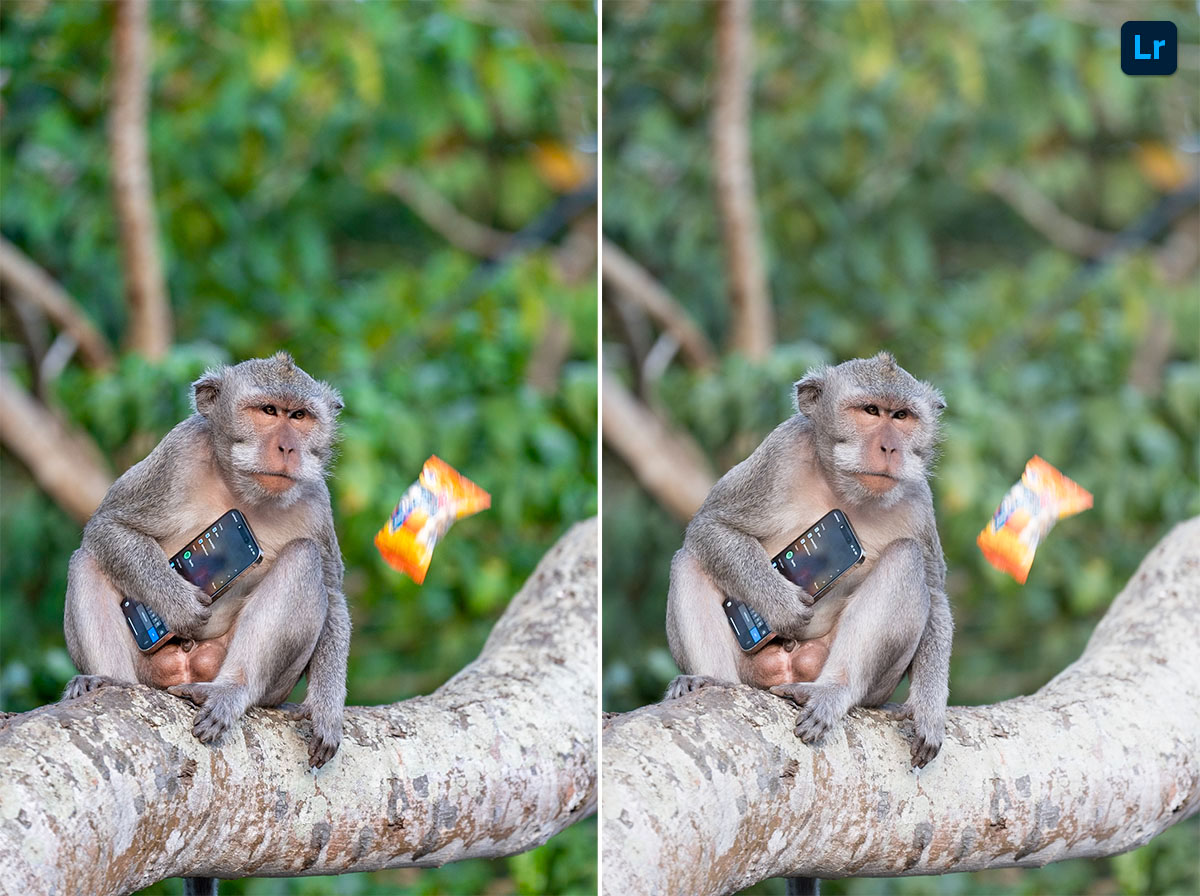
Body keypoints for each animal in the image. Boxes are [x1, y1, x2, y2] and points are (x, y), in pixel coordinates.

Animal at [62, 352, 350, 772]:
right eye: (268, 411)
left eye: (299, 416)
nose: (287, 448)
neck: (241, 491)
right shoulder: (178, 451)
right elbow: (110, 525)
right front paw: (178, 603)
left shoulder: (315, 499)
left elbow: (333, 594)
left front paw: (325, 709)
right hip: (148, 671)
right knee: (90, 560)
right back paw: (109, 681)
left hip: (261, 683)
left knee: (304, 557)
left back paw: (230, 690)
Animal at [664, 352, 952, 770]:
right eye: (870, 411)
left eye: (902, 416)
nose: (890, 449)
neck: (844, 491)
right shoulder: (780, 451)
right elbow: (712, 525)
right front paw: (780, 604)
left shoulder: (917, 499)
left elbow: (936, 595)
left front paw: (927, 709)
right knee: (692, 560)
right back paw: (710, 681)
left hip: (864, 684)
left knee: (906, 557)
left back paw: (832, 690)